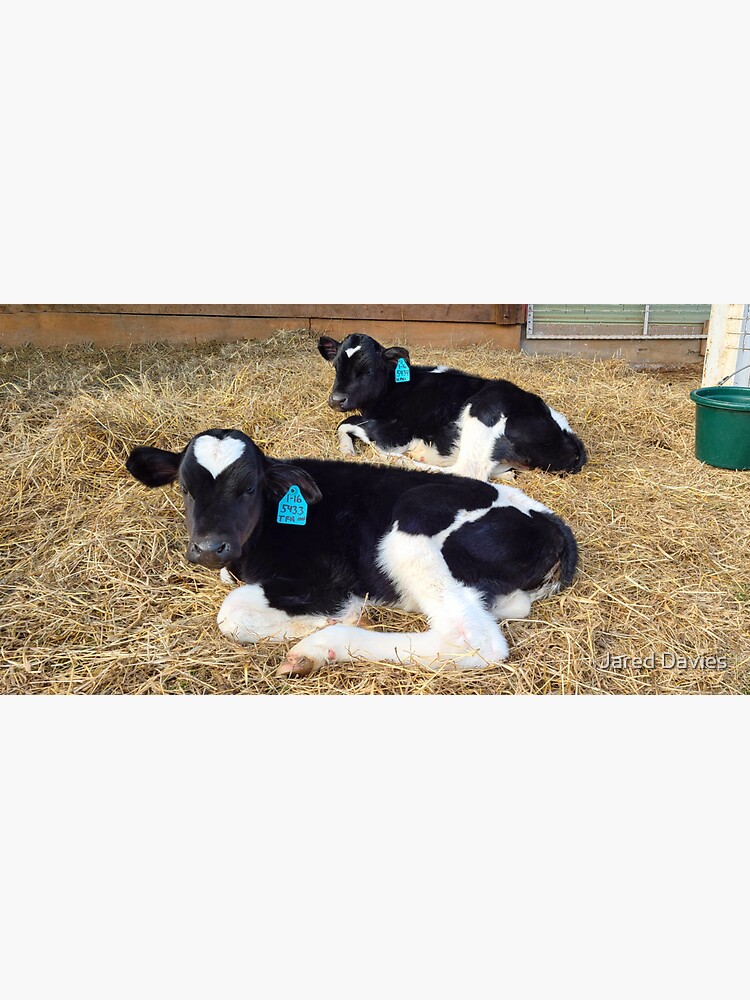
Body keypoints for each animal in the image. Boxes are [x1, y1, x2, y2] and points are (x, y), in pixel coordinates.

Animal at [125, 428, 578, 677]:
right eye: (185, 488)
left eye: (250, 487)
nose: (209, 548)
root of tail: (551, 522)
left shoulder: (326, 578)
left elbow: (231, 612)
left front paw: (328, 618)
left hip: (413, 523)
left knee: (473, 640)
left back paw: (317, 648)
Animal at [318, 333, 587, 480]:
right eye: (336, 366)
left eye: (368, 371)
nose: (336, 399)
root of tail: (570, 440)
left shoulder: (395, 432)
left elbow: (347, 424)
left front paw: (348, 450)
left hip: (484, 408)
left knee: (467, 471)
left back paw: (405, 462)